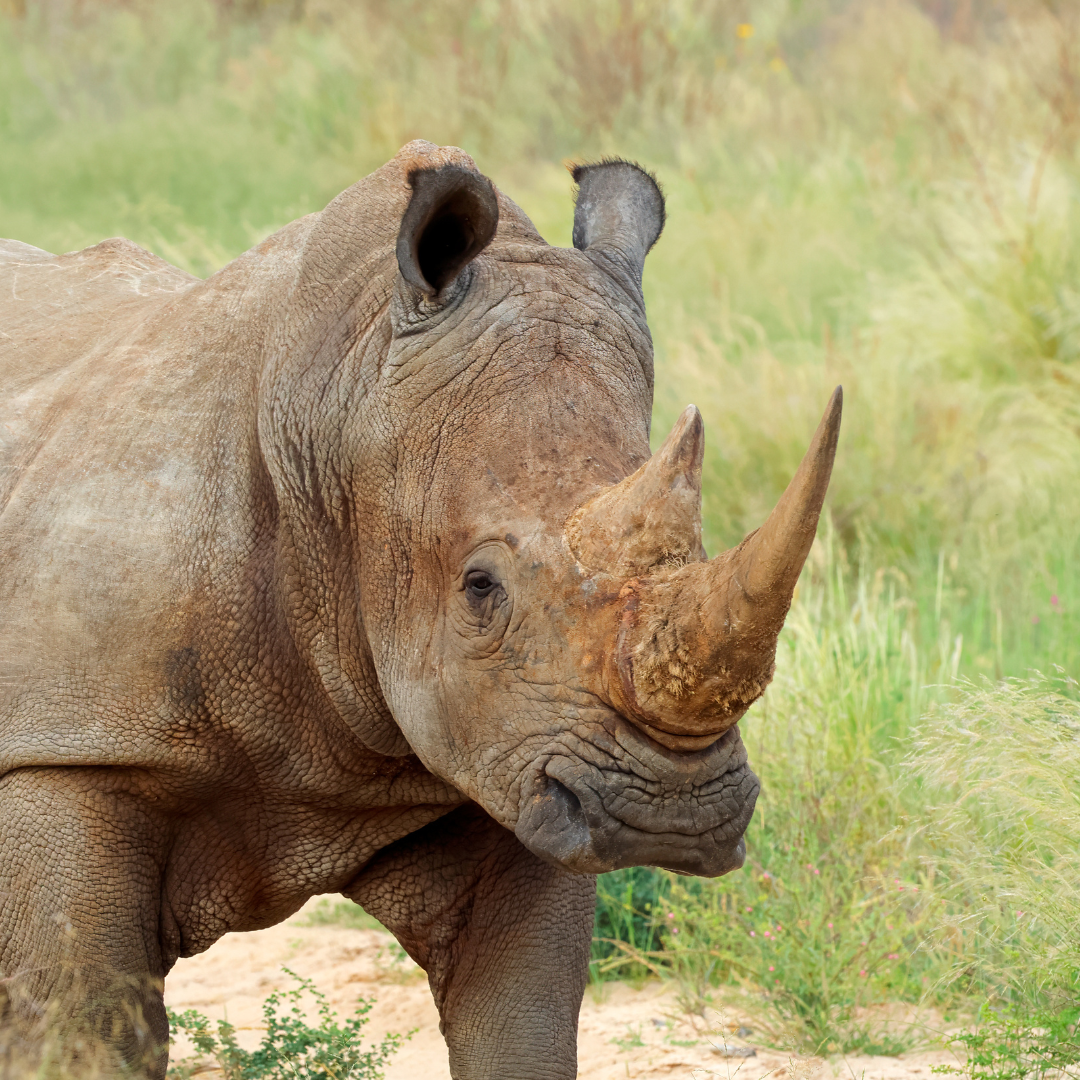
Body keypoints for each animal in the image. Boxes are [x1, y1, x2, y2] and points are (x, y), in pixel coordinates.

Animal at [0, 141, 840, 1079]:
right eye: (480, 587)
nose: (671, 815)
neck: (335, 408)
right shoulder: (68, 742)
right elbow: (86, 1026)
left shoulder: (516, 752)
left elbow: (521, 1020)